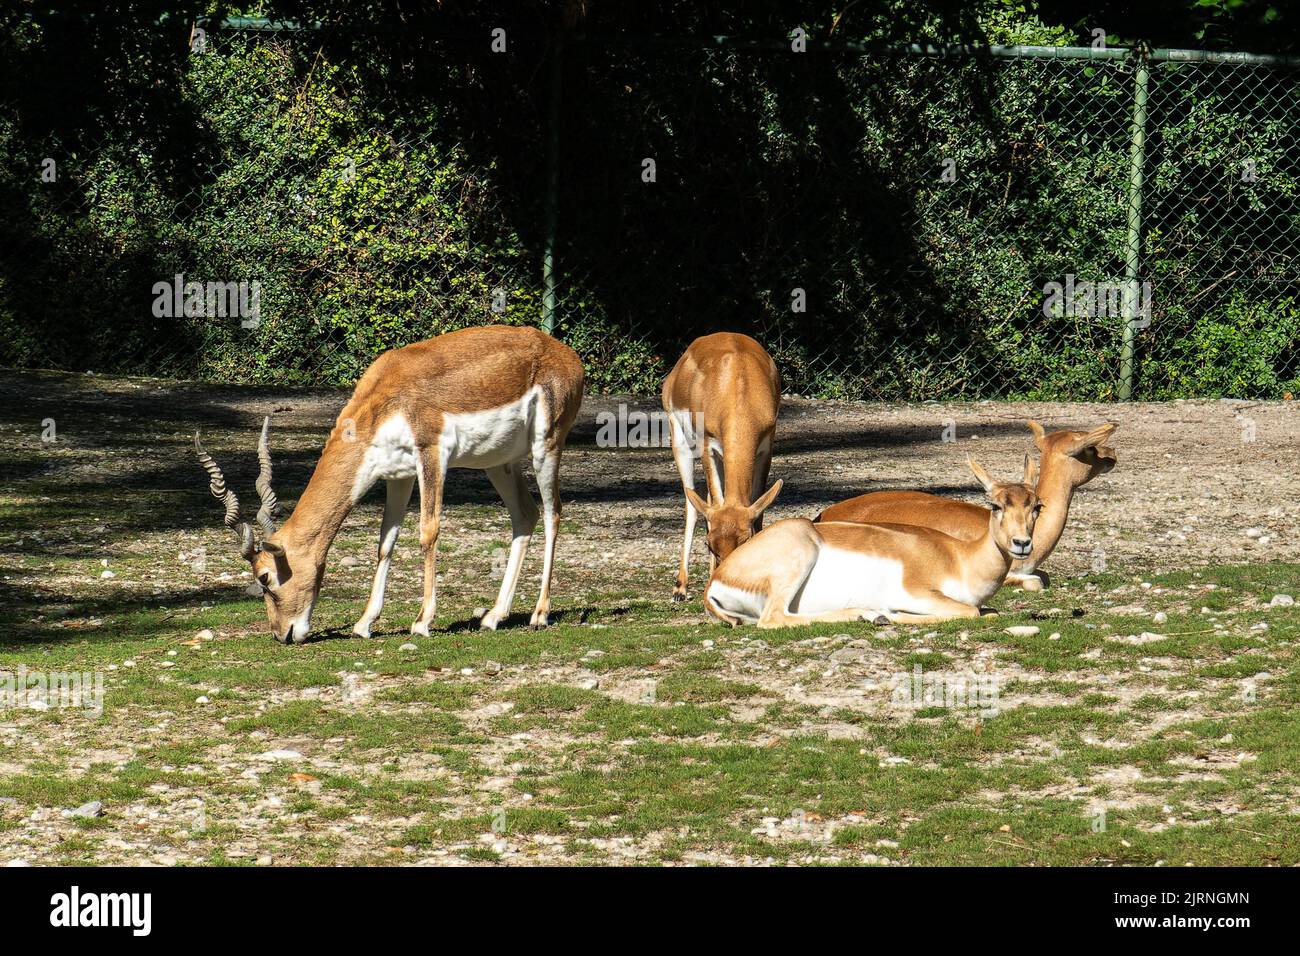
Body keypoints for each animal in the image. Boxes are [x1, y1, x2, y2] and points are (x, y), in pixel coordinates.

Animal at [193, 325, 584, 643]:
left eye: (264, 578)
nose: (282, 634)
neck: (387, 395)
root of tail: (567, 355)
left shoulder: (432, 454)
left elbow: (428, 531)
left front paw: (422, 622)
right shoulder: (399, 474)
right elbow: (385, 544)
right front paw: (364, 623)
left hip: (546, 446)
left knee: (553, 513)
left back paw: (539, 614)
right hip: (499, 463)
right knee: (525, 515)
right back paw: (494, 616)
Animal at [662, 332, 783, 601]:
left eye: (746, 541)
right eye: (709, 544)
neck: (737, 387)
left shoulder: (765, 449)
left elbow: (757, 510)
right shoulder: (708, 447)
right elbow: (713, 503)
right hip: (680, 442)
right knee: (692, 503)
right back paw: (680, 587)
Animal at [703, 457, 1041, 628]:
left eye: (1037, 506)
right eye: (996, 505)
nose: (1022, 543)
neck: (960, 557)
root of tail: (716, 581)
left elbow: (987, 612)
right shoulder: (918, 592)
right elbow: (970, 612)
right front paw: (891, 615)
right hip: (799, 552)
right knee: (772, 619)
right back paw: (868, 614)